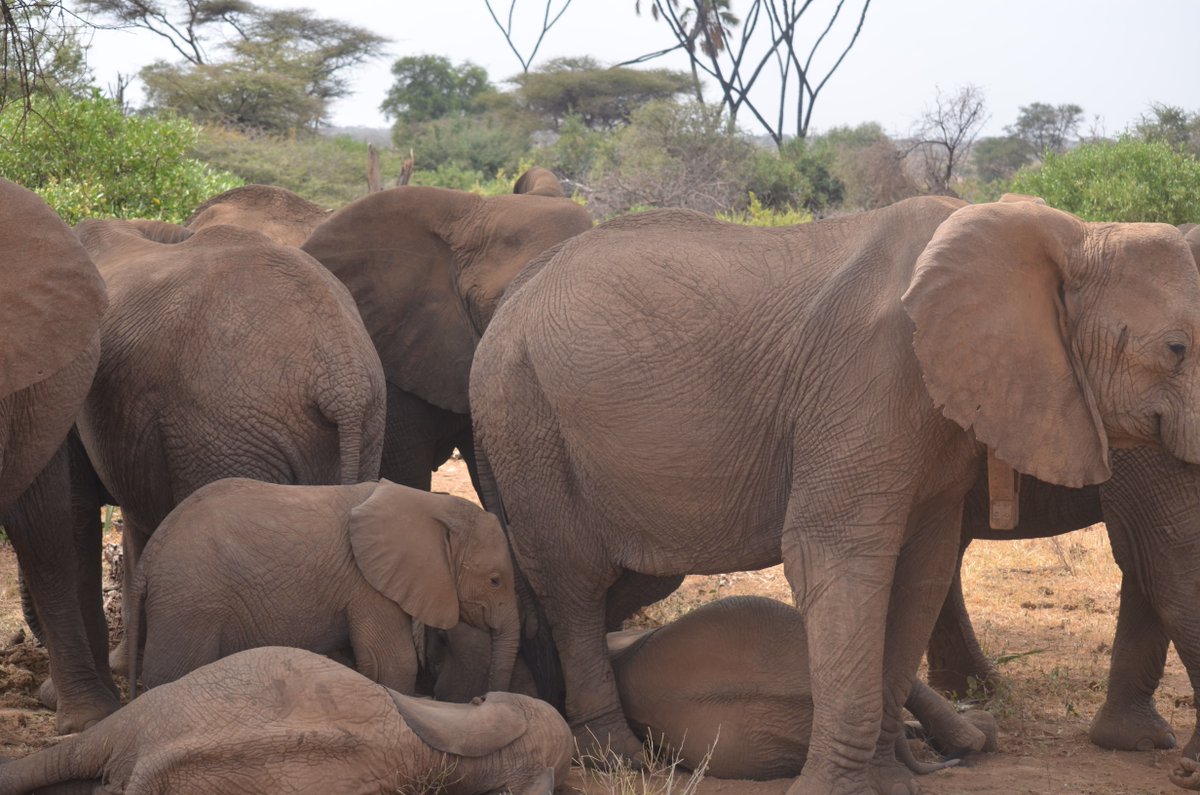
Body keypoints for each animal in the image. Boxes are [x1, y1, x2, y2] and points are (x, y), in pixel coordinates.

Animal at [126, 477, 519, 696]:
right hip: (190, 605)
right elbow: (395, 663)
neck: (430, 504)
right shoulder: (367, 585)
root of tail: (151, 554)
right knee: (171, 676)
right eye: (495, 580)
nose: (482, 699)